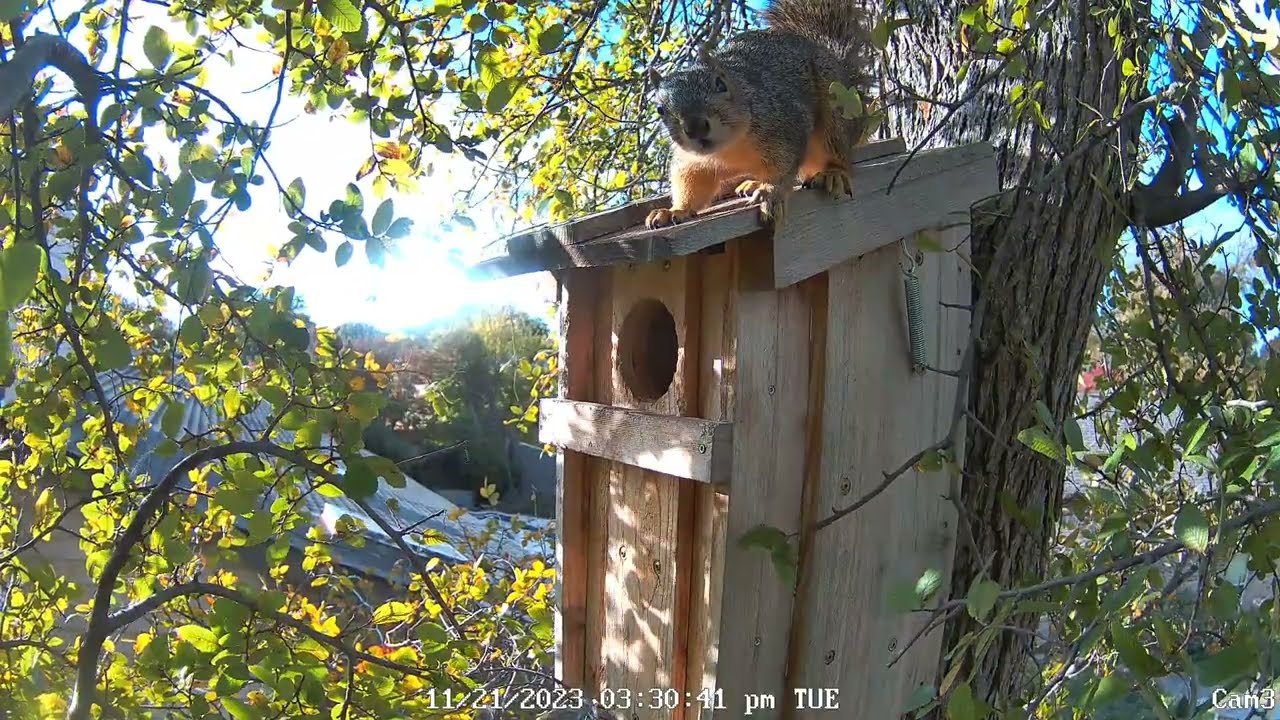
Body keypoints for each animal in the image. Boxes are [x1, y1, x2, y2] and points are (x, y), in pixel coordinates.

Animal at [644, 0, 876, 231]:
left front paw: (769, 192)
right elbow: (691, 184)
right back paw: (752, 183)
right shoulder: (692, 162)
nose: (695, 127)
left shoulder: (786, 125)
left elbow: (783, 167)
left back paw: (833, 173)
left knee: (836, 152)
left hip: (834, 110)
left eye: (720, 84)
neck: (729, 149)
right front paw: (675, 210)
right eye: (660, 109)